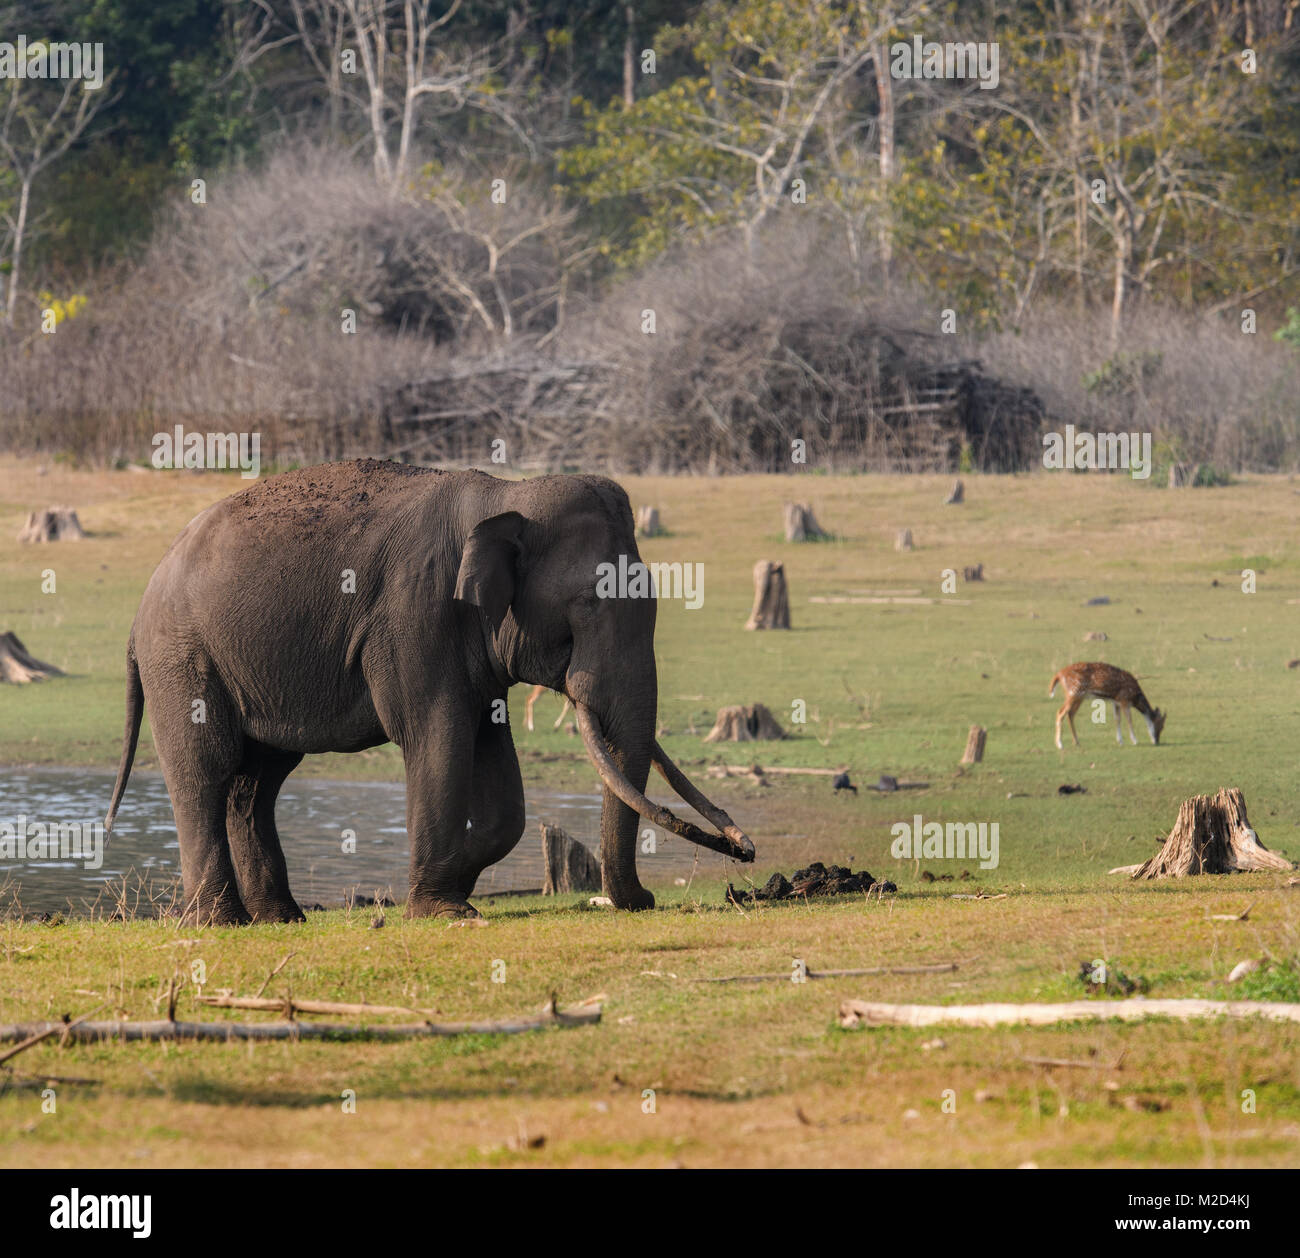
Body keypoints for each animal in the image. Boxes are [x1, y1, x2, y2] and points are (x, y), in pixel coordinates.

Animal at [105, 459, 754, 924]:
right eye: (587, 608)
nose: (743, 849)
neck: (506, 495)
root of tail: (138, 611)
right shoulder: (413, 615)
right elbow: (435, 735)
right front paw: (441, 908)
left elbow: (499, 775)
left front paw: (445, 889)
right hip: (184, 659)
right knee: (205, 773)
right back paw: (219, 923)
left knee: (258, 783)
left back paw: (280, 920)